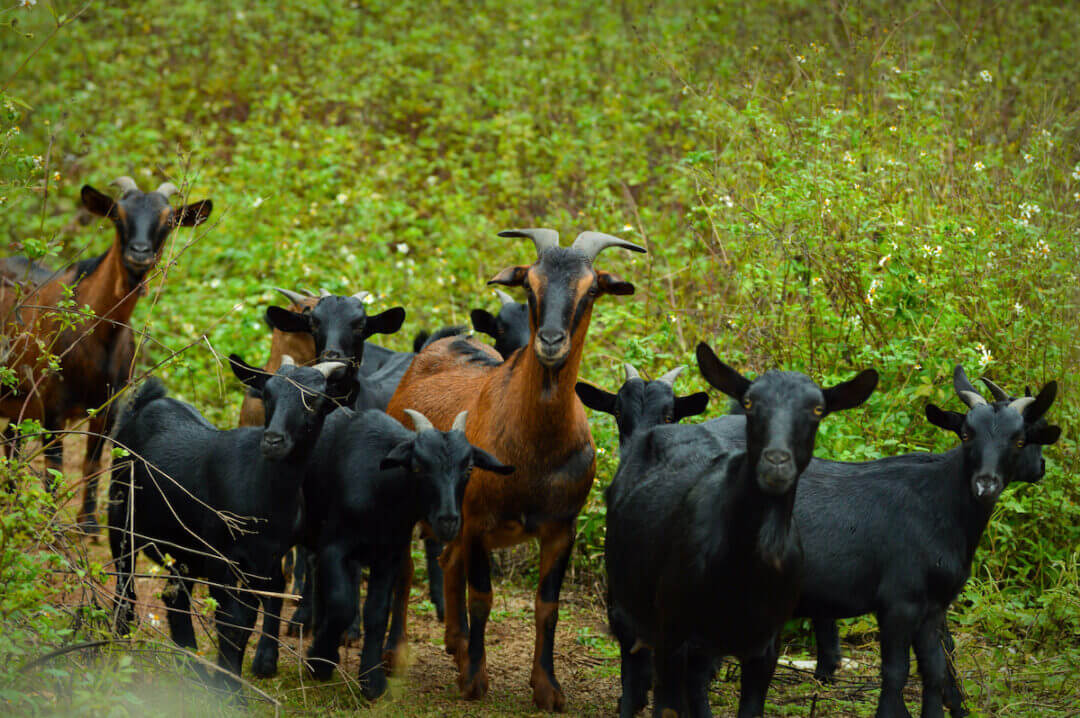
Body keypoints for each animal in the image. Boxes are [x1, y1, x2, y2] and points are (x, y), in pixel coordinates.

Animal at [1, 177, 211, 532]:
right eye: (118, 215)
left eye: (168, 220)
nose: (139, 253)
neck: (98, 338)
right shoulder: (52, 405)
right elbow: (55, 467)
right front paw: (52, 524)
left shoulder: (108, 407)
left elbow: (92, 461)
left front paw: (88, 523)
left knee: (9, 442)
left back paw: (11, 500)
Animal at [109, 355, 344, 687]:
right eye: (267, 394)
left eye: (313, 399)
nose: (273, 440)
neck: (261, 489)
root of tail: (145, 404)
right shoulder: (221, 557)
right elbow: (230, 623)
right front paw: (229, 689)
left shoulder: (265, 560)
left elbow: (247, 620)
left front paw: (228, 681)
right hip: (120, 517)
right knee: (126, 584)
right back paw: (120, 642)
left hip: (185, 548)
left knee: (174, 597)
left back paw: (190, 665)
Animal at [301, 408, 513, 699]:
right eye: (418, 467)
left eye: (468, 468)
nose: (448, 520)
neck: (380, 490)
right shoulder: (334, 545)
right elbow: (342, 603)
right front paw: (318, 662)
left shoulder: (388, 554)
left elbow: (377, 612)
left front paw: (372, 681)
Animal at [386, 228, 644, 710]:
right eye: (530, 284)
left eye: (591, 289)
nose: (550, 342)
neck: (533, 453)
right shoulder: (477, 522)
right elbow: (482, 596)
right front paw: (475, 680)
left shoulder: (560, 527)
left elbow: (548, 606)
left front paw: (547, 687)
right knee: (405, 568)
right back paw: (397, 654)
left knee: (447, 561)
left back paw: (456, 645)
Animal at [605, 343, 877, 718]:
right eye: (750, 402)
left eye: (818, 409)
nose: (776, 462)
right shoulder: (673, 632)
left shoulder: (764, 647)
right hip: (627, 601)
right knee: (635, 674)